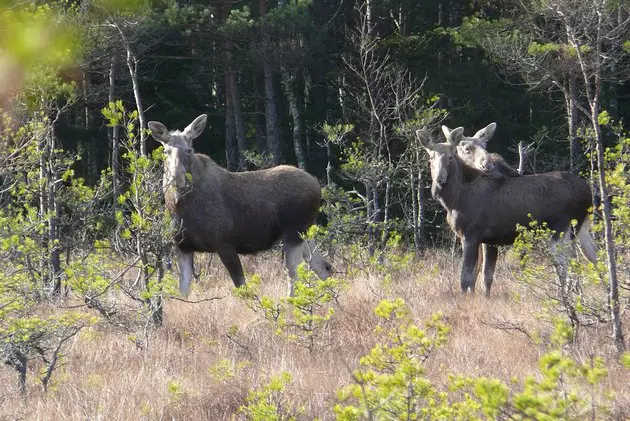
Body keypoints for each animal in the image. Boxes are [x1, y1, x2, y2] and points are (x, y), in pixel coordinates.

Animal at [150, 111, 334, 296]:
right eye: (165, 151)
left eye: (189, 150)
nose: (177, 179)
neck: (179, 206)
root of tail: (317, 186)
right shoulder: (183, 247)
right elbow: (183, 292)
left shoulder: (224, 243)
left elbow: (242, 288)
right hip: (306, 232)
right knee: (323, 266)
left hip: (294, 232)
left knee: (294, 274)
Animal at [418, 128, 600, 296]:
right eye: (431, 157)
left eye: (450, 157)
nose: (440, 180)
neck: (455, 198)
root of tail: (588, 191)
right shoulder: (486, 240)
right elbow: (482, 276)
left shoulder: (471, 234)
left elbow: (465, 278)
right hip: (581, 227)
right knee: (594, 256)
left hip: (560, 231)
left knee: (568, 268)